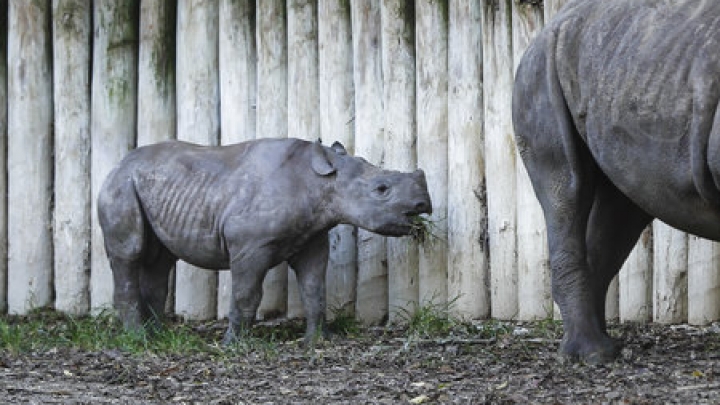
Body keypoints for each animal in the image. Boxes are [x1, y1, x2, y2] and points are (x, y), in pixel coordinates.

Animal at [98, 138, 432, 345]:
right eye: (381, 189)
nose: (424, 205)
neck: (321, 181)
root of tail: (117, 163)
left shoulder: (312, 238)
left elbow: (314, 288)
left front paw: (317, 341)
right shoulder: (249, 244)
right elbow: (247, 293)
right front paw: (233, 345)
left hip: (151, 187)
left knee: (161, 260)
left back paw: (161, 336)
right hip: (120, 187)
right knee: (128, 254)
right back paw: (139, 340)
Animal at [513, 0, 720, 363]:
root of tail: (544, 29)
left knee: (623, 204)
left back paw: (605, 347)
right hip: (540, 70)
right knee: (567, 191)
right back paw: (591, 354)